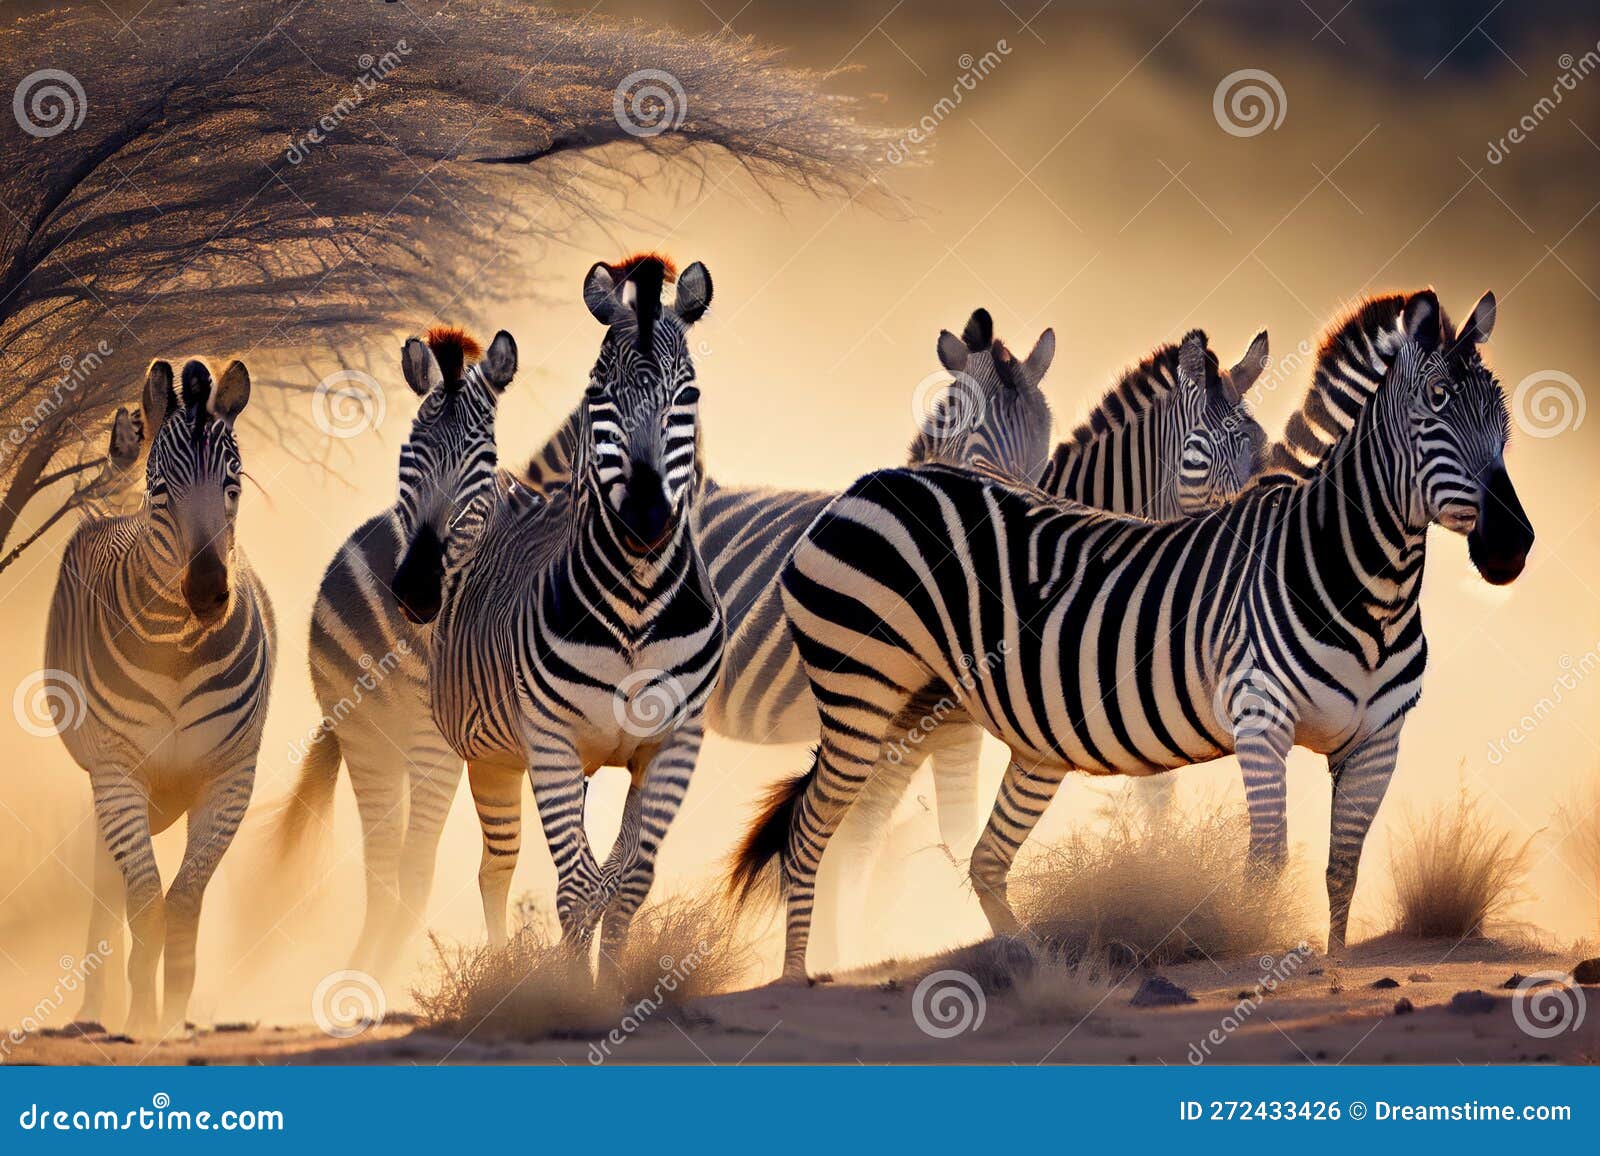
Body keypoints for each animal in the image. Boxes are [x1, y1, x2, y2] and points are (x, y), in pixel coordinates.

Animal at [46, 358, 276, 1035]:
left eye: (233, 484)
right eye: (159, 489)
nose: (206, 592)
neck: (178, 646)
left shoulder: (231, 776)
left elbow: (185, 902)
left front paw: (173, 1013)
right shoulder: (118, 770)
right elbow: (145, 901)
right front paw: (143, 1018)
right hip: (105, 775)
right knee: (107, 882)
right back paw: (95, 1006)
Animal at [269, 326, 520, 980]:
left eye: (484, 461)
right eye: (410, 453)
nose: (415, 590)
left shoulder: (445, 742)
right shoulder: (380, 734)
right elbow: (397, 871)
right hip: (373, 739)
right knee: (387, 868)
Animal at [421, 254, 721, 969]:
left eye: (688, 395)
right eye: (597, 395)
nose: (645, 517)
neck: (637, 602)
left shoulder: (674, 742)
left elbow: (629, 880)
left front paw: (610, 981)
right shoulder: (552, 743)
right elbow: (580, 886)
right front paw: (569, 985)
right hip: (496, 757)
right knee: (496, 870)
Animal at [735, 292, 1534, 980]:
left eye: (1504, 416)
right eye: (1435, 408)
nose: (1510, 545)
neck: (1368, 586)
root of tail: (872, 482)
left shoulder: (1378, 742)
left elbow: (1343, 867)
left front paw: (1335, 970)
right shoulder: (1261, 720)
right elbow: (1266, 861)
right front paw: (1259, 962)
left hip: (981, 727)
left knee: (972, 857)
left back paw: (1033, 964)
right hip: (859, 690)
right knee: (812, 834)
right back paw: (799, 979)